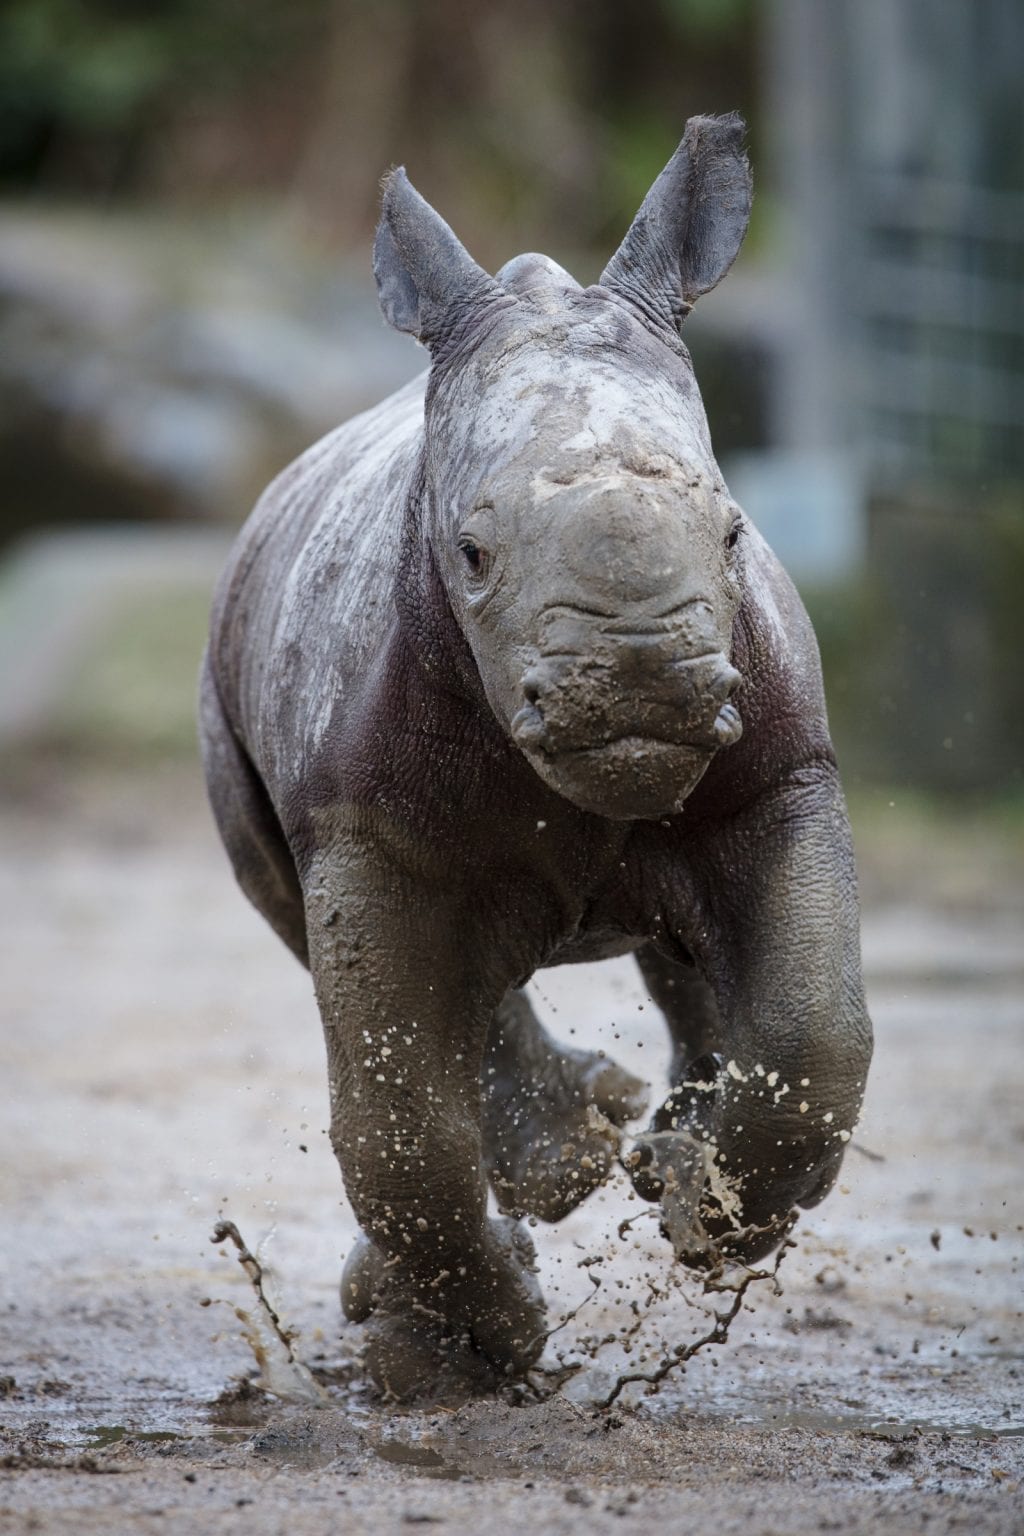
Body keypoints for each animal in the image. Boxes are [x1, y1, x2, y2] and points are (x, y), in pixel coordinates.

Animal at [200, 113, 873, 1400]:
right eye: (470, 555)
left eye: (732, 529)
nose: (640, 680)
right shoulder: (366, 829)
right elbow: (396, 1111)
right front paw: (489, 1346)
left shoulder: (781, 776)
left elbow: (815, 1027)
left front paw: (706, 1213)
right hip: (231, 724)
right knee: (347, 961)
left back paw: (654, 1151)